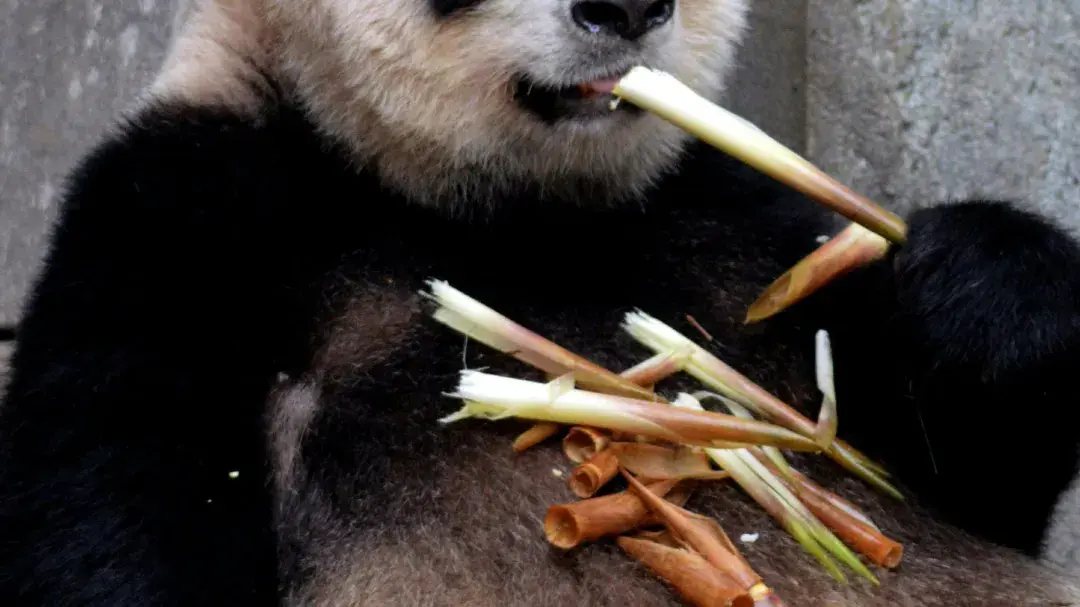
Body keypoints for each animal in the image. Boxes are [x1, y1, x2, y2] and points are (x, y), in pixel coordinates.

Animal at [2, 0, 1080, 604]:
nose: (626, 4)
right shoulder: (182, 220)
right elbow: (110, 533)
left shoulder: (716, 205)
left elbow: (956, 480)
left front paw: (983, 290)